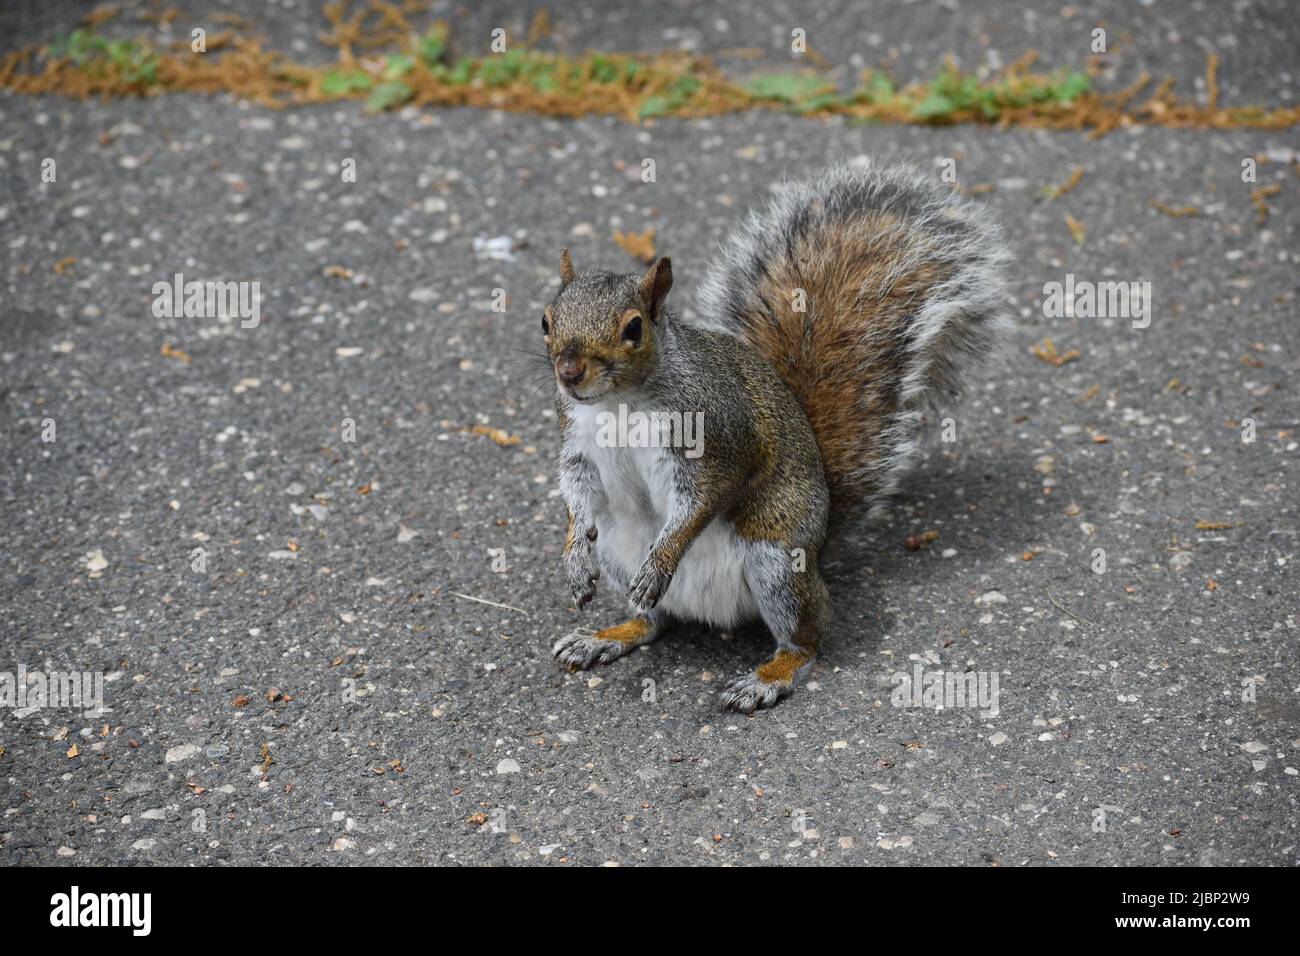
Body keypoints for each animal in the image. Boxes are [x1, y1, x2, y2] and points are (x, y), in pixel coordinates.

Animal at [542, 162, 1012, 712]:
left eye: (633, 328)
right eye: (546, 320)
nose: (569, 373)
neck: (619, 403)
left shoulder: (715, 437)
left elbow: (700, 502)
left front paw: (660, 562)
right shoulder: (576, 440)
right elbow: (577, 492)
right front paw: (574, 558)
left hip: (777, 564)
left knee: (808, 637)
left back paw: (767, 676)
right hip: (619, 547)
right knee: (652, 622)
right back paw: (606, 636)